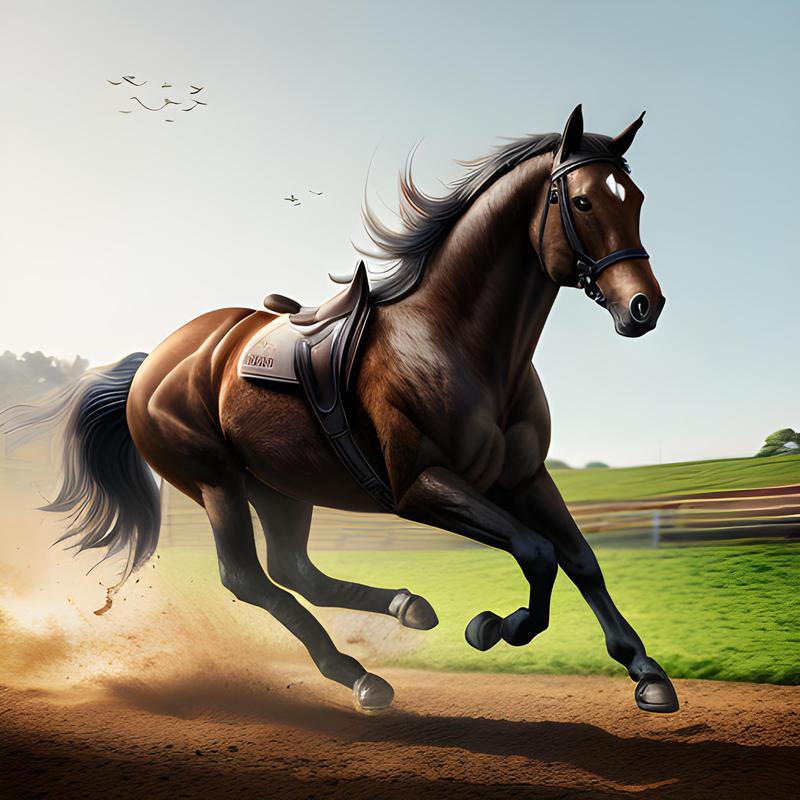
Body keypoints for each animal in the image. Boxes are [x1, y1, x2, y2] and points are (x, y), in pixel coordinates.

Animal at [2, 105, 678, 714]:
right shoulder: (419, 485)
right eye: (584, 202)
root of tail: (154, 361)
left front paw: (645, 670)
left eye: (637, 198)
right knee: (250, 579)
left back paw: (407, 608)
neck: (456, 342)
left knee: (295, 570)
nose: (643, 306)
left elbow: (580, 558)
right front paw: (495, 626)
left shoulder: (524, 477)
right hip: (214, 480)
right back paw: (358, 675)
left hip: (278, 485)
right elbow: (537, 551)